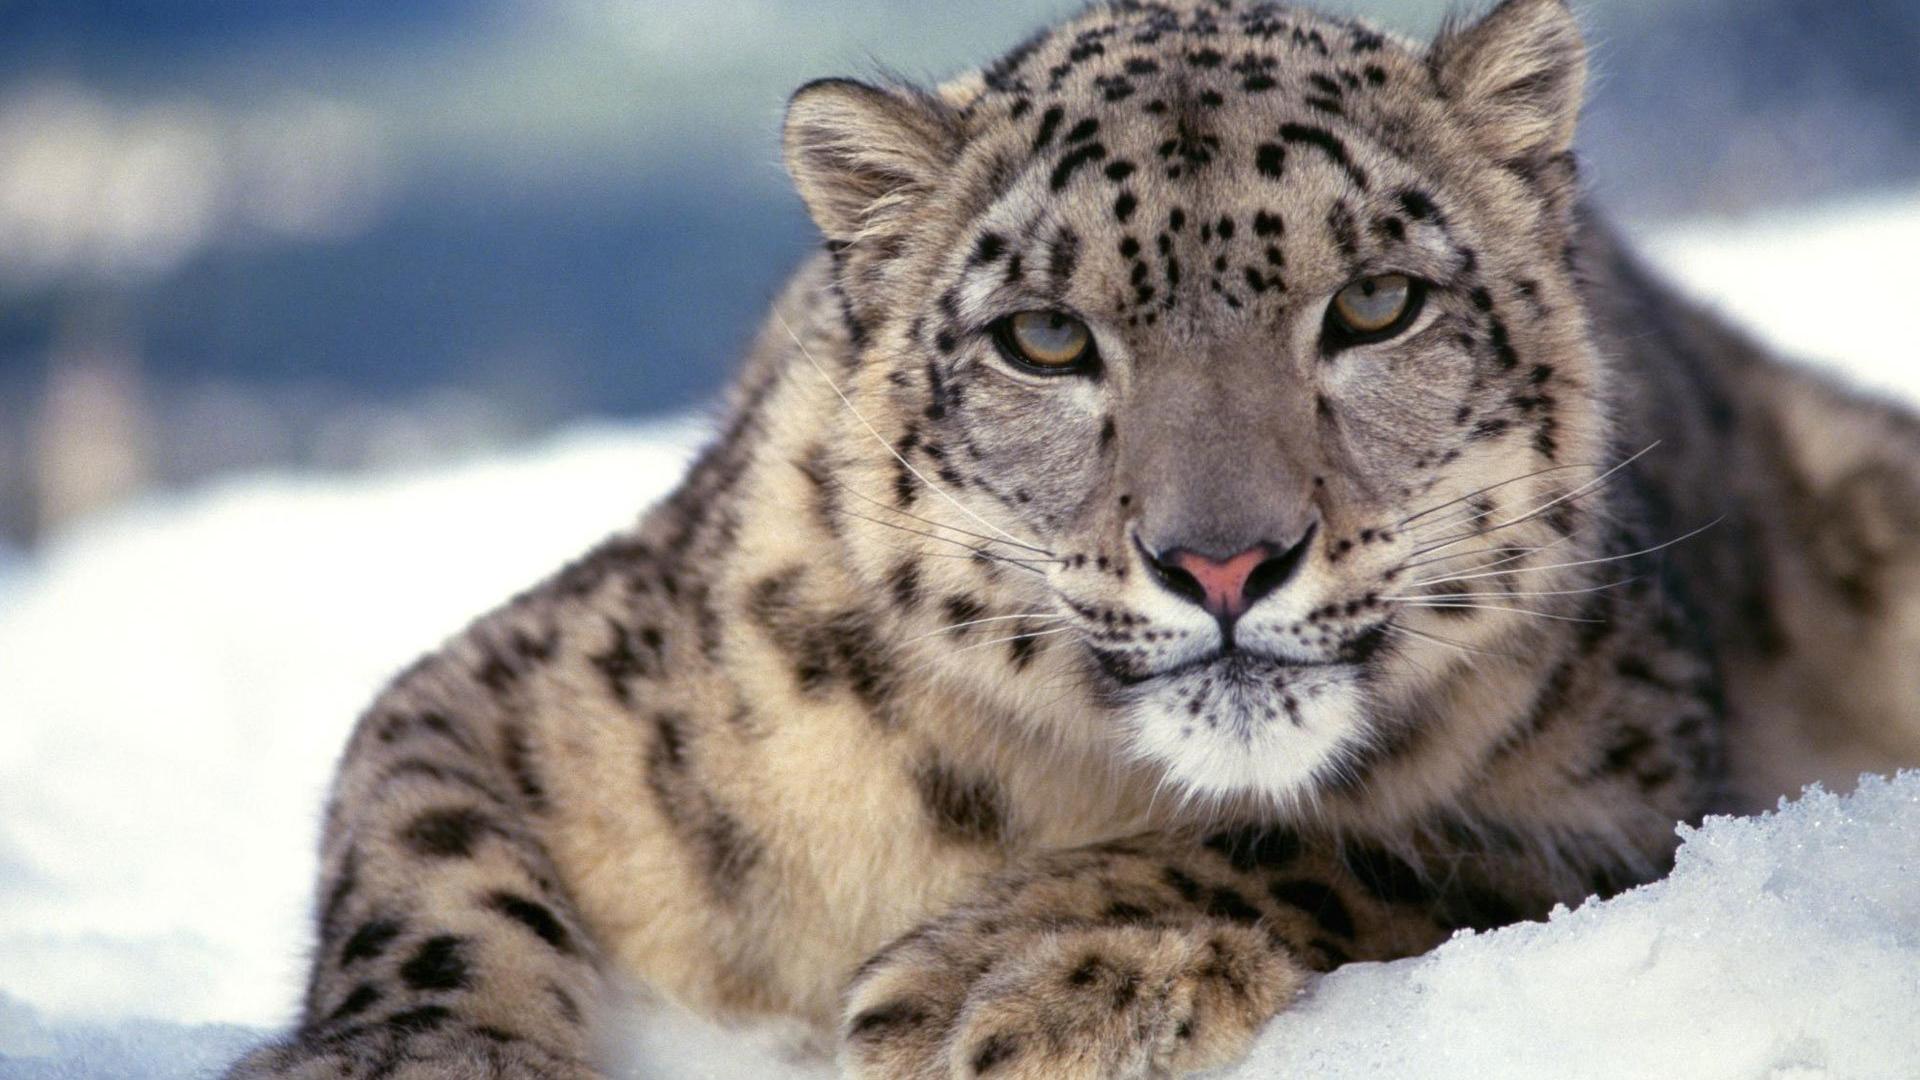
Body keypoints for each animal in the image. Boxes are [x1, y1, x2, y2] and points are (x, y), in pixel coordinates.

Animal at [228, 0, 1920, 1077]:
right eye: (1044, 336)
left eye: (1377, 303)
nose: (1225, 559)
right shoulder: (527, 686)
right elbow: (427, 855)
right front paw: (414, 1059)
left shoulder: (1635, 797)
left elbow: (1350, 840)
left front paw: (1007, 979)